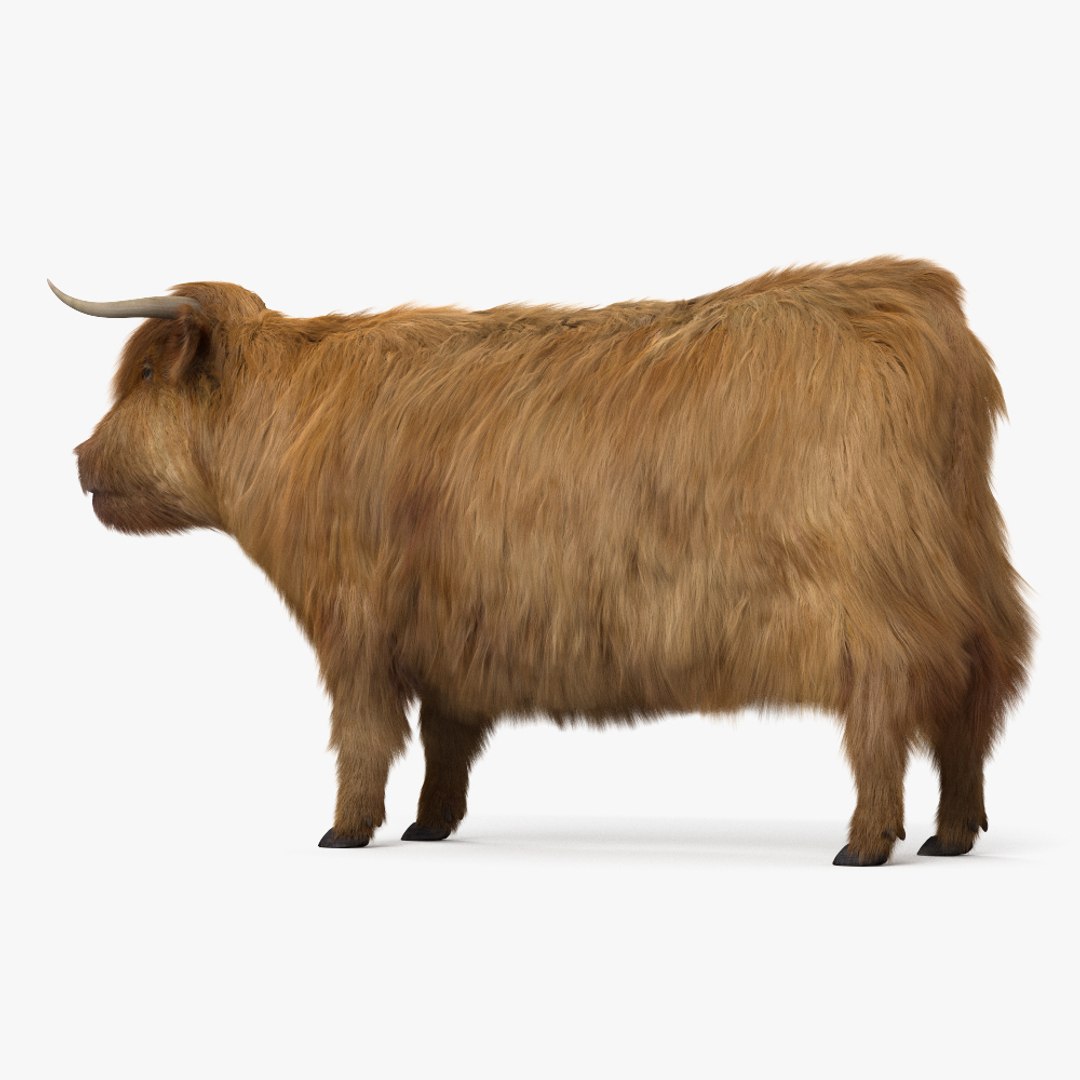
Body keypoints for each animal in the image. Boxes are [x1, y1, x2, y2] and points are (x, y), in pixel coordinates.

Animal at [53, 257, 1032, 865]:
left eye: (146, 377)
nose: (78, 456)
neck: (295, 417)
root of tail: (918, 308)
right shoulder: (450, 633)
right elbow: (446, 741)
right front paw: (429, 827)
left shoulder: (357, 626)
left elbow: (364, 737)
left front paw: (345, 831)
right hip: (974, 593)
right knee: (972, 707)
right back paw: (950, 836)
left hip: (873, 613)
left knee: (889, 717)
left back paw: (866, 843)